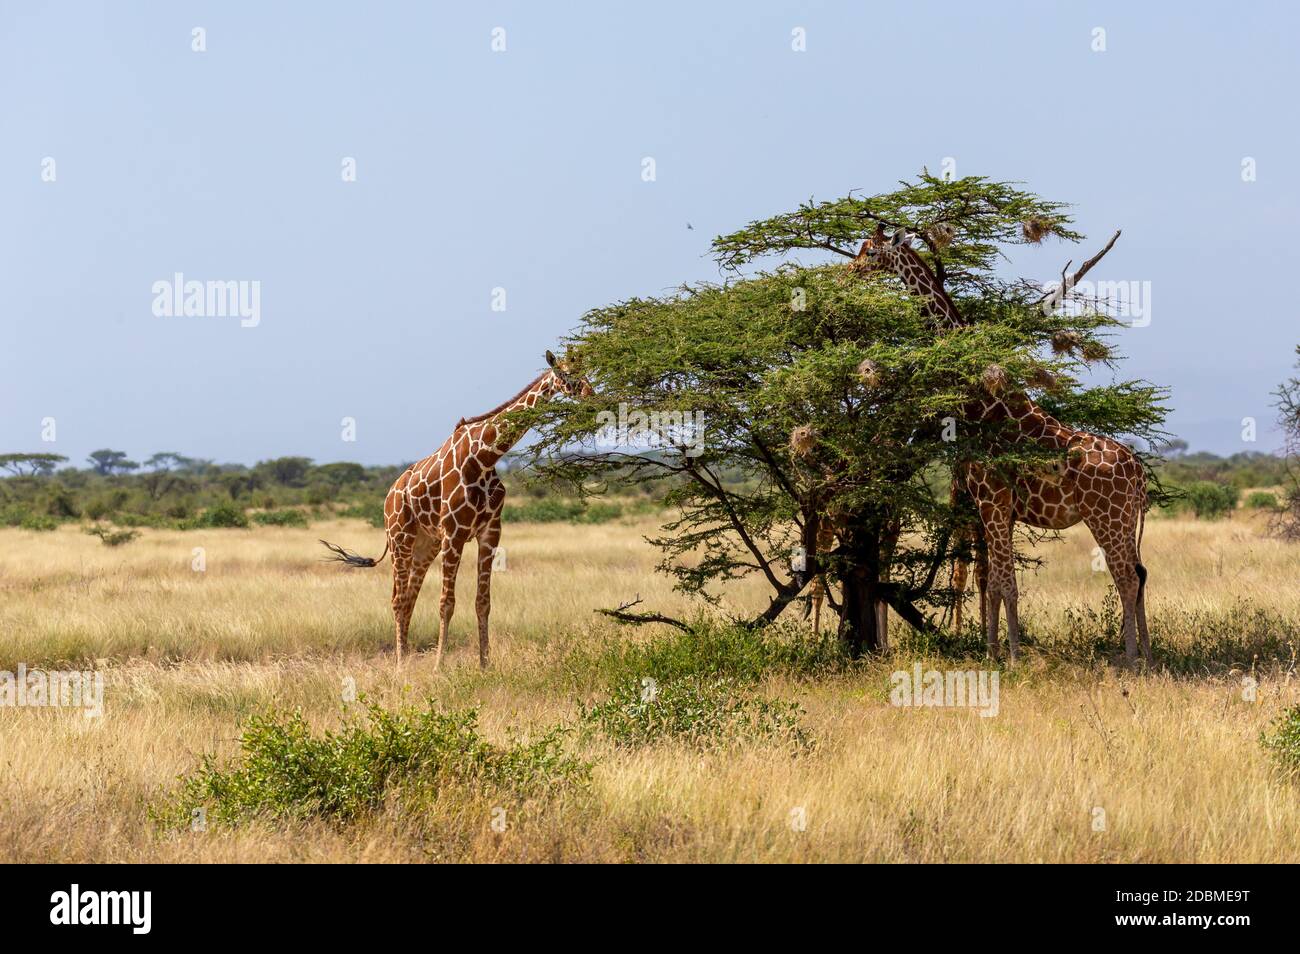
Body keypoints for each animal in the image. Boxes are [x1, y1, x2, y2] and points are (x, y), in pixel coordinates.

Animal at [321, 350, 593, 667]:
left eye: (585, 370)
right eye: (566, 374)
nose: (590, 394)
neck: (486, 457)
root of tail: (389, 496)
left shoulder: (490, 532)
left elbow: (483, 602)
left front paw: (485, 665)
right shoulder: (454, 532)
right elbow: (446, 603)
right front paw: (439, 666)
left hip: (426, 545)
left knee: (410, 598)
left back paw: (407, 658)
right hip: (401, 538)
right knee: (398, 600)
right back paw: (400, 665)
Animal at [850, 226, 1152, 666]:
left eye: (870, 252)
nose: (850, 271)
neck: (981, 405)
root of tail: (1139, 472)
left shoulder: (992, 500)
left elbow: (1006, 583)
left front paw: (1012, 657)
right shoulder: (996, 509)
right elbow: (992, 582)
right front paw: (992, 652)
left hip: (1105, 517)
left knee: (1126, 578)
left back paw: (1129, 659)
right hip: (1127, 519)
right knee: (1140, 574)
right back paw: (1148, 652)